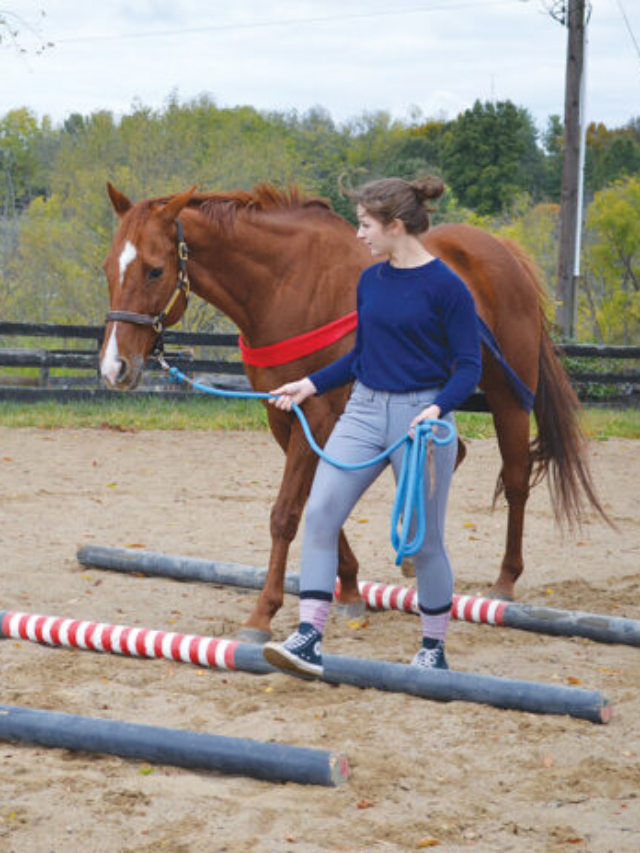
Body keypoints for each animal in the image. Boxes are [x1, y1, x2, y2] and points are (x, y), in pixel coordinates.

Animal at [99, 182, 606, 641]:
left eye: (154, 271)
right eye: (108, 268)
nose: (114, 367)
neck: (287, 284)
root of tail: (505, 253)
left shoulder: (317, 412)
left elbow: (287, 512)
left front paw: (262, 615)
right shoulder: (283, 414)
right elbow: (322, 500)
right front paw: (347, 588)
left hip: (508, 397)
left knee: (517, 479)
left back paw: (504, 581)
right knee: (447, 457)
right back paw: (414, 555)